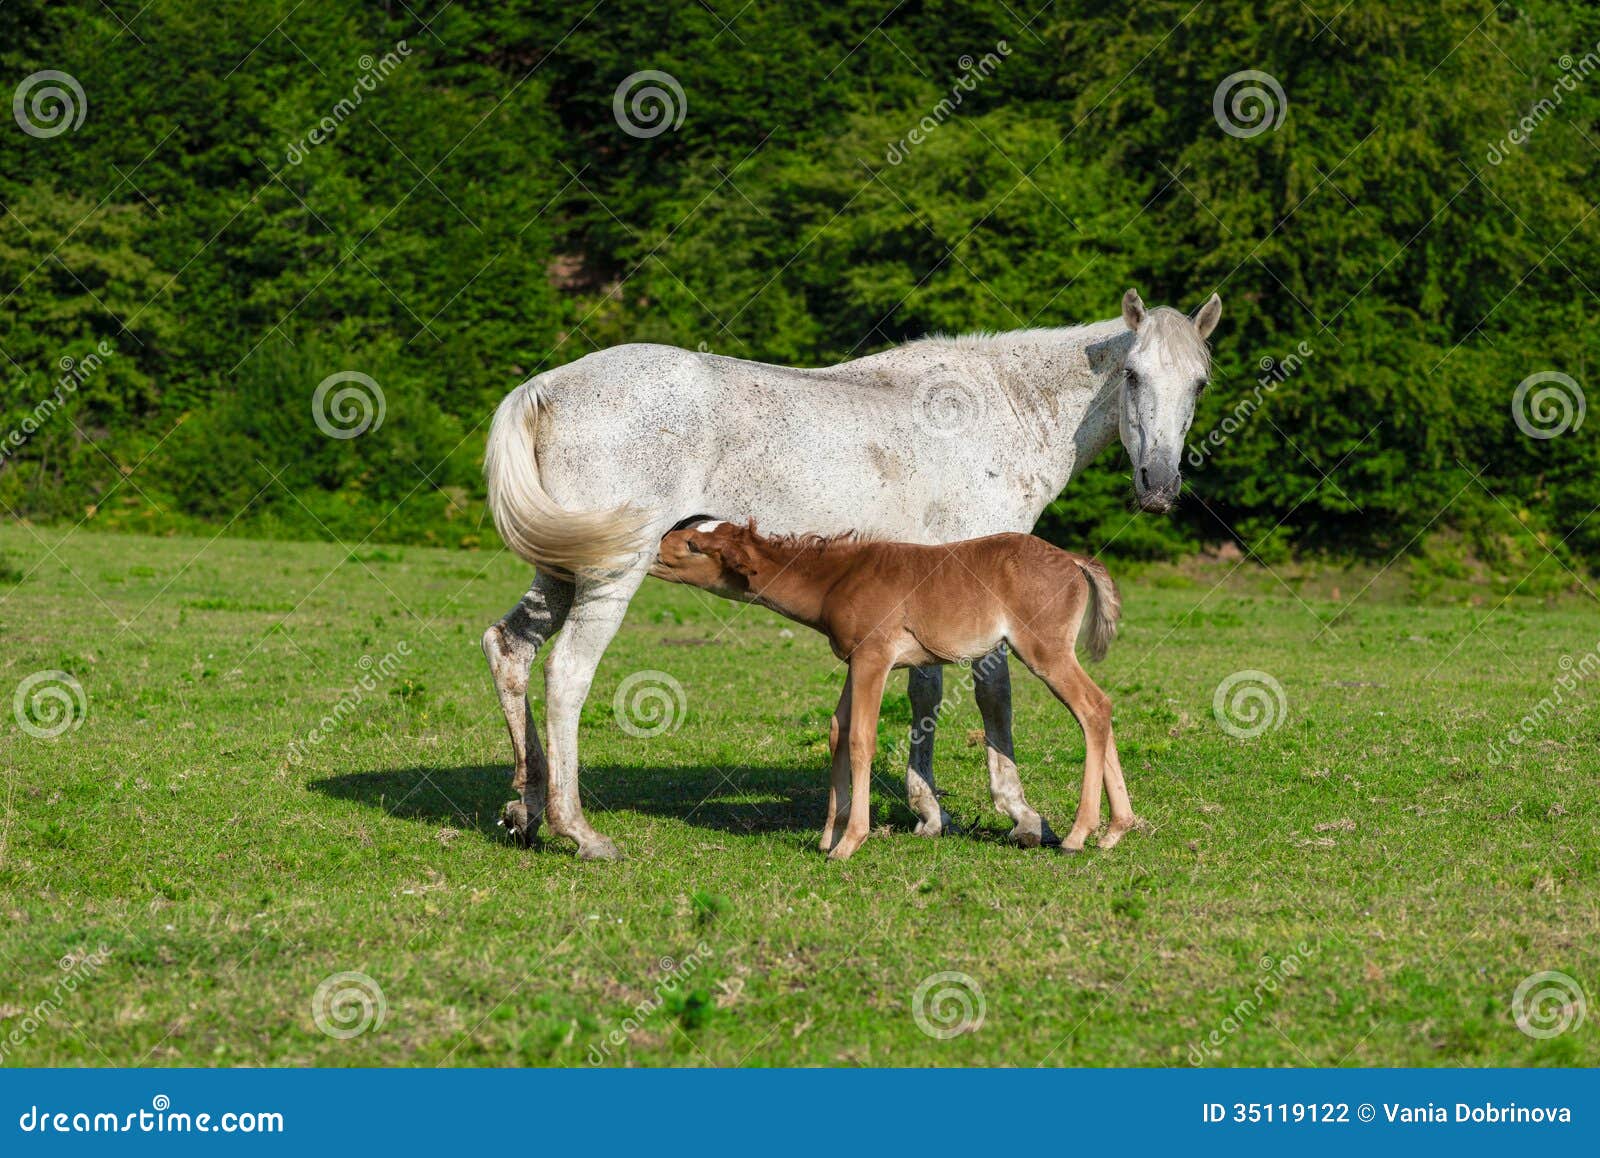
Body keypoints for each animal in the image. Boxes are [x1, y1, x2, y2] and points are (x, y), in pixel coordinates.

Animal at [650, 520, 1132, 860]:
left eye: (693, 546)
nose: (654, 547)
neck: (837, 578)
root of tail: (1074, 561)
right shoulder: (854, 662)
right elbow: (837, 731)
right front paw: (828, 836)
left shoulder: (874, 658)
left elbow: (862, 739)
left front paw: (849, 843)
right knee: (1102, 708)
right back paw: (1115, 830)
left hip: (1044, 650)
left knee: (1092, 707)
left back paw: (1078, 835)